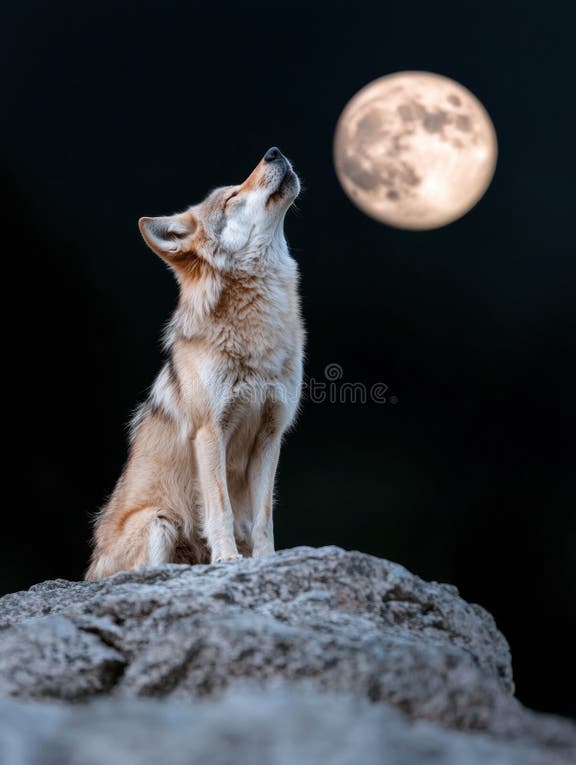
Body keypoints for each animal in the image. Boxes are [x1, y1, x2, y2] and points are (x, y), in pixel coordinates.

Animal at [86, 148, 304, 580]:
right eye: (232, 198)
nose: (274, 152)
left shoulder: (271, 435)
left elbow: (263, 517)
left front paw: (266, 560)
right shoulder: (210, 431)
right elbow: (219, 506)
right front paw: (228, 560)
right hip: (158, 522)